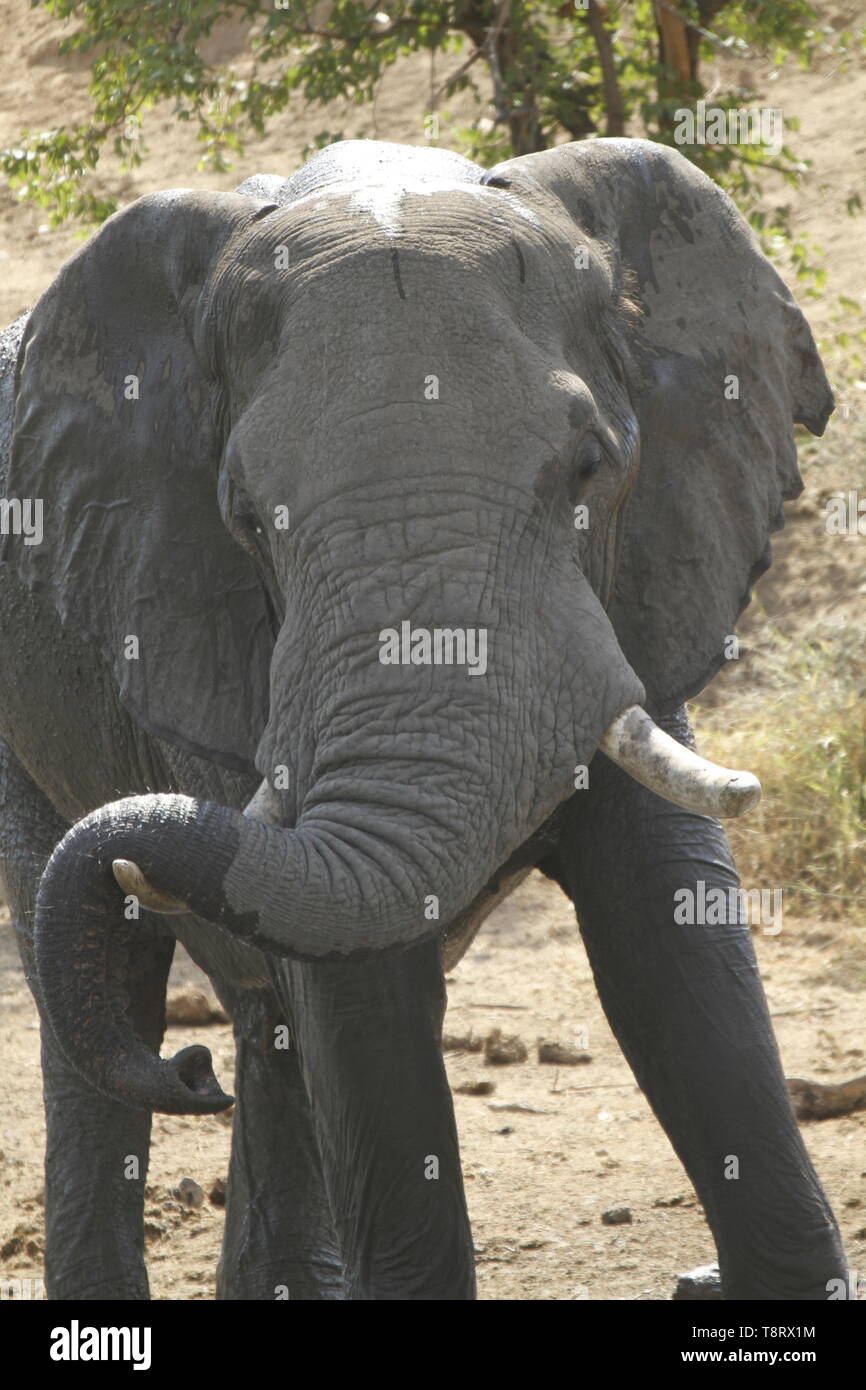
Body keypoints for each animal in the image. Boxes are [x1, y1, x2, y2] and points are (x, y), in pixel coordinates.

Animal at [0, 135, 849, 1301]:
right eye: (244, 516)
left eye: (589, 467)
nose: (192, 1067)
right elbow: (361, 998)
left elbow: (670, 926)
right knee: (110, 976)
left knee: (259, 1019)